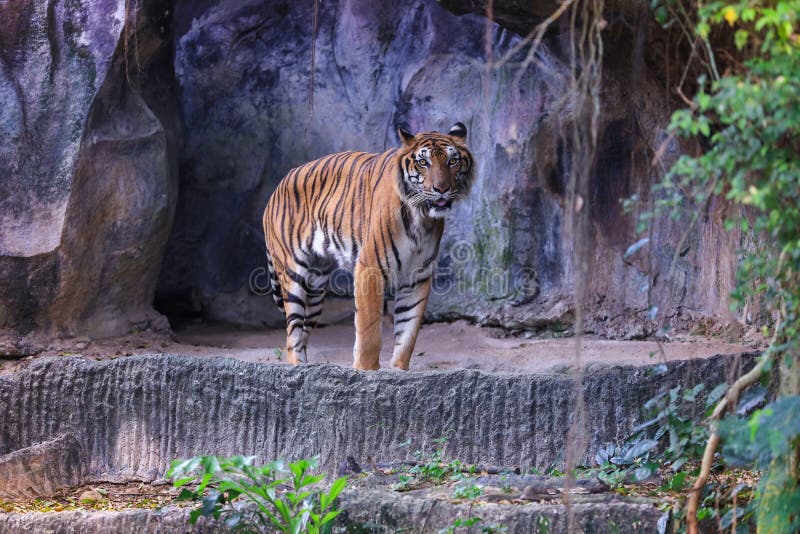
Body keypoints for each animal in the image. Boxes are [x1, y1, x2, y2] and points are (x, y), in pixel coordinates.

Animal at [262, 122, 474, 370]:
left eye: (453, 161)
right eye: (424, 162)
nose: (442, 188)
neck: (421, 217)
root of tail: (278, 186)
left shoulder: (417, 275)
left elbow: (408, 332)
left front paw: (398, 370)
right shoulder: (370, 268)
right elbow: (369, 331)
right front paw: (366, 371)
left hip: (315, 286)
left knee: (302, 331)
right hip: (294, 274)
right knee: (292, 334)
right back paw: (298, 367)